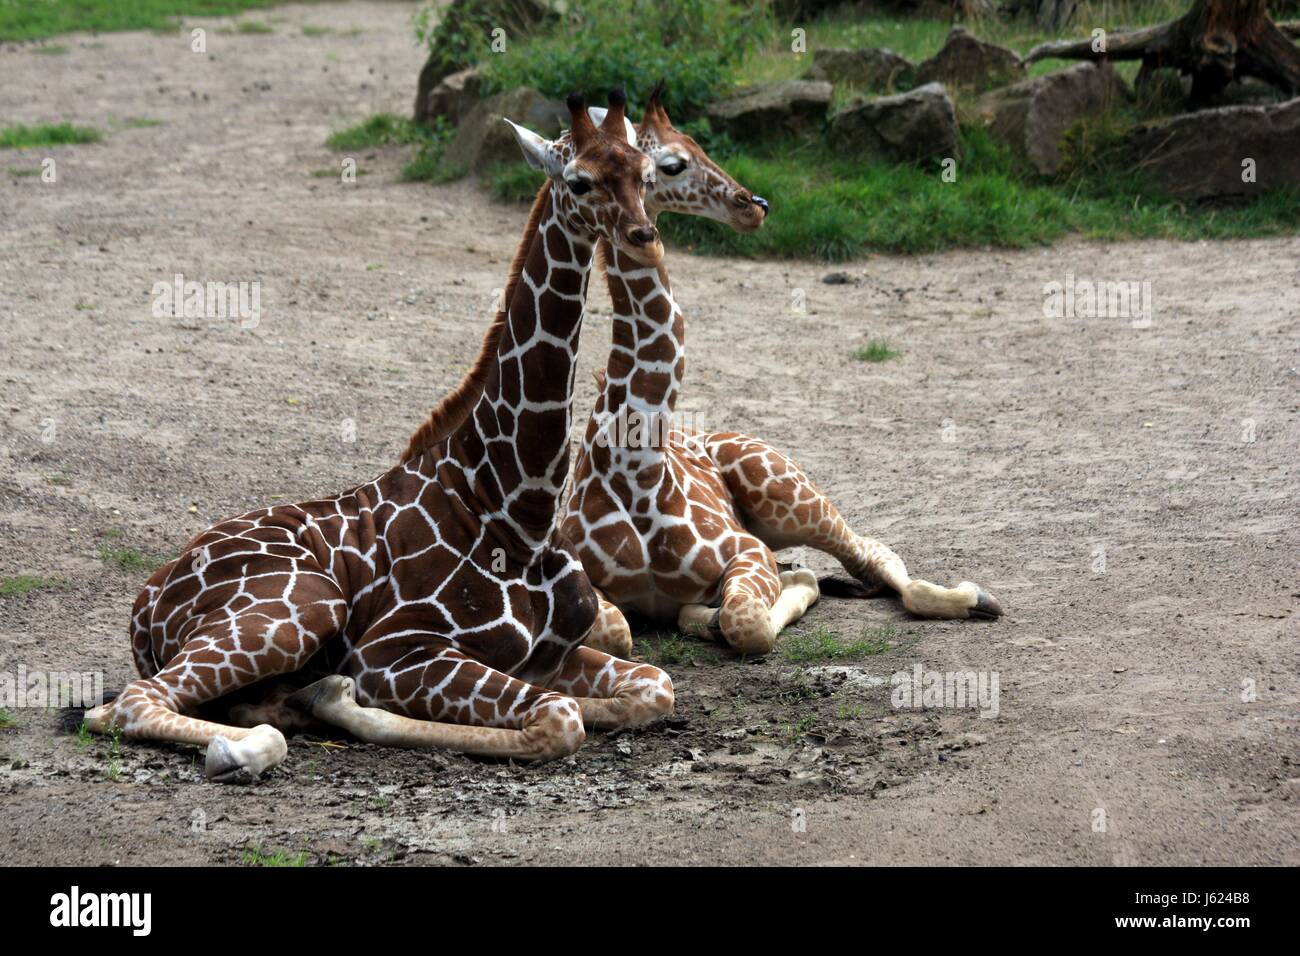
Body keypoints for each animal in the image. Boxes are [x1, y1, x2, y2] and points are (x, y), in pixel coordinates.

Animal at [84, 91, 676, 781]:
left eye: (646, 173)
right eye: (579, 180)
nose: (642, 237)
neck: (516, 507)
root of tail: (145, 600)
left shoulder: (550, 652)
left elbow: (653, 686)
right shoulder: (395, 652)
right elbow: (561, 718)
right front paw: (341, 699)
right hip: (305, 607)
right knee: (128, 705)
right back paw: (256, 739)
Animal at [565, 87, 1003, 658]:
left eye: (650, 169)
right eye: (671, 163)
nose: (754, 205)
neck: (631, 464)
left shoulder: (745, 548)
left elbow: (746, 622)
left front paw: (724, 614)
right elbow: (617, 631)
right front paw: (704, 614)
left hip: (790, 499)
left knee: (869, 553)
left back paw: (976, 598)